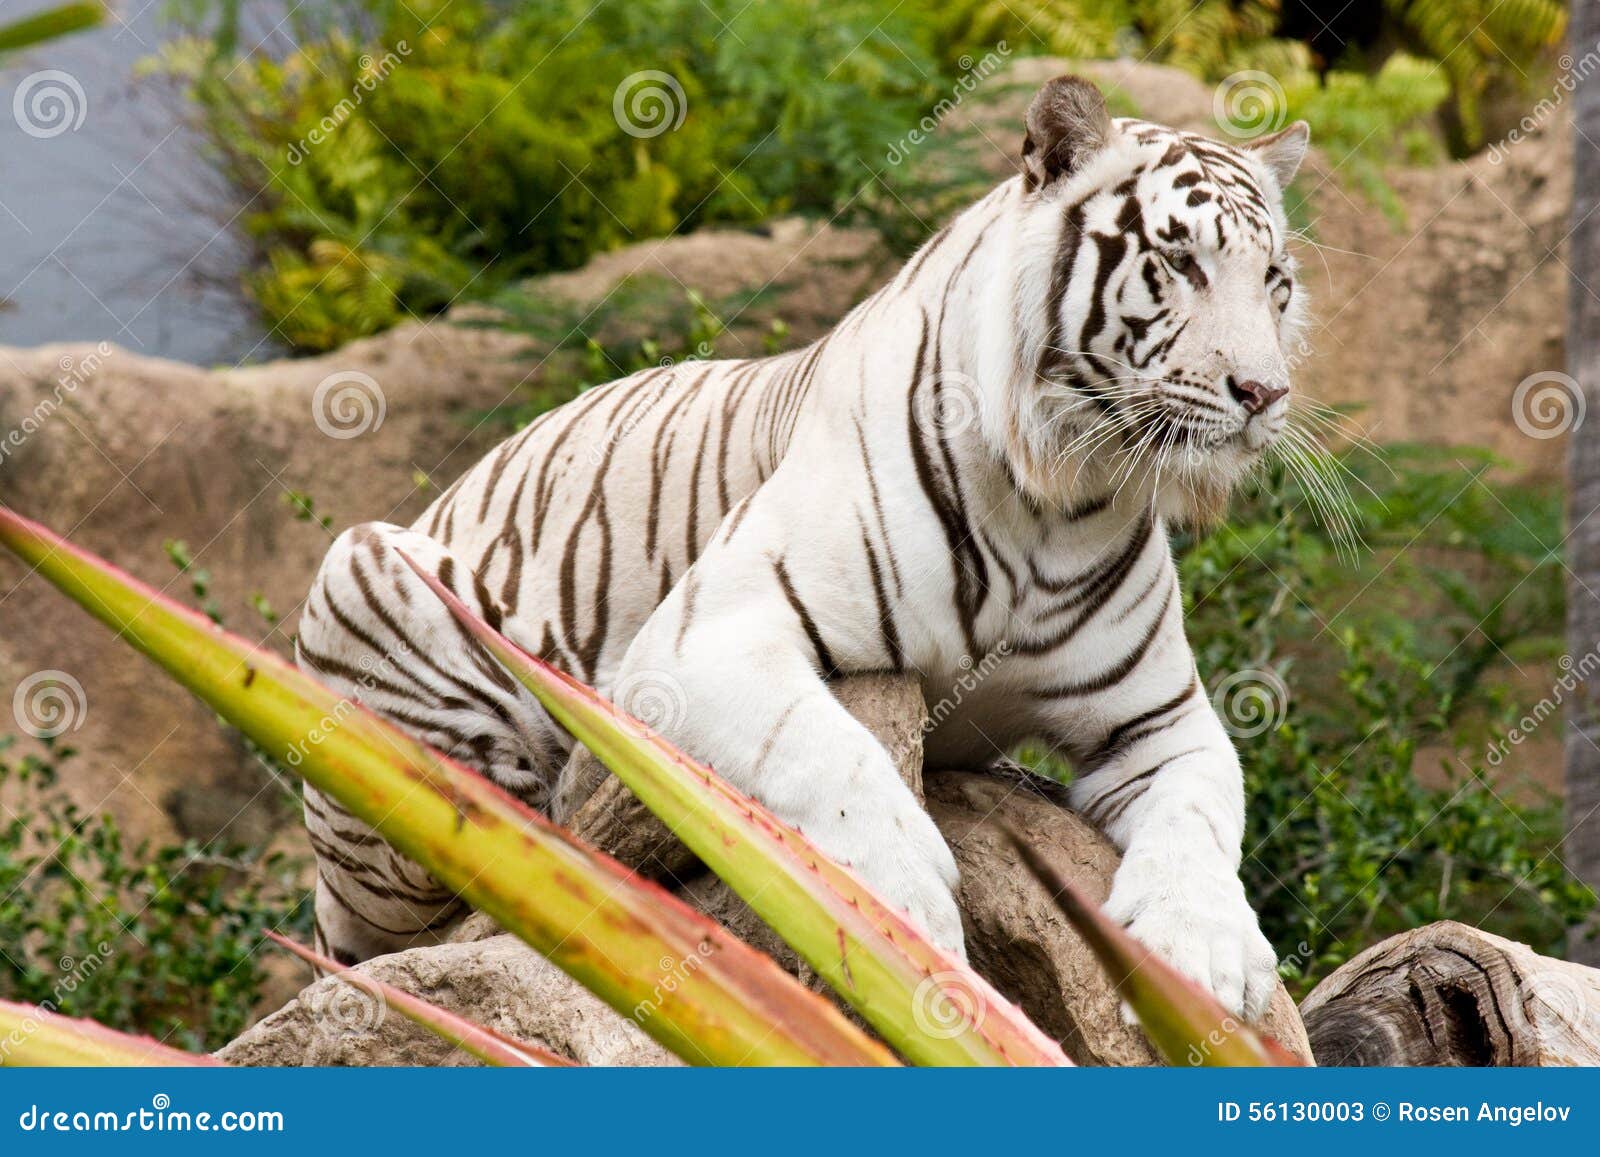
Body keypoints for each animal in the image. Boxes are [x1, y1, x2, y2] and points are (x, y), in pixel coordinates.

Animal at [294, 74, 1310, 1021]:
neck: (1057, 501)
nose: (1264, 393)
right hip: (364, 571)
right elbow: (832, 760)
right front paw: (909, 919)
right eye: (1178, 261)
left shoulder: (1161, 716)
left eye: (1275, 283)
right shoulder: (705, 636)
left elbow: (1204, 812)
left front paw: (1203, 956)